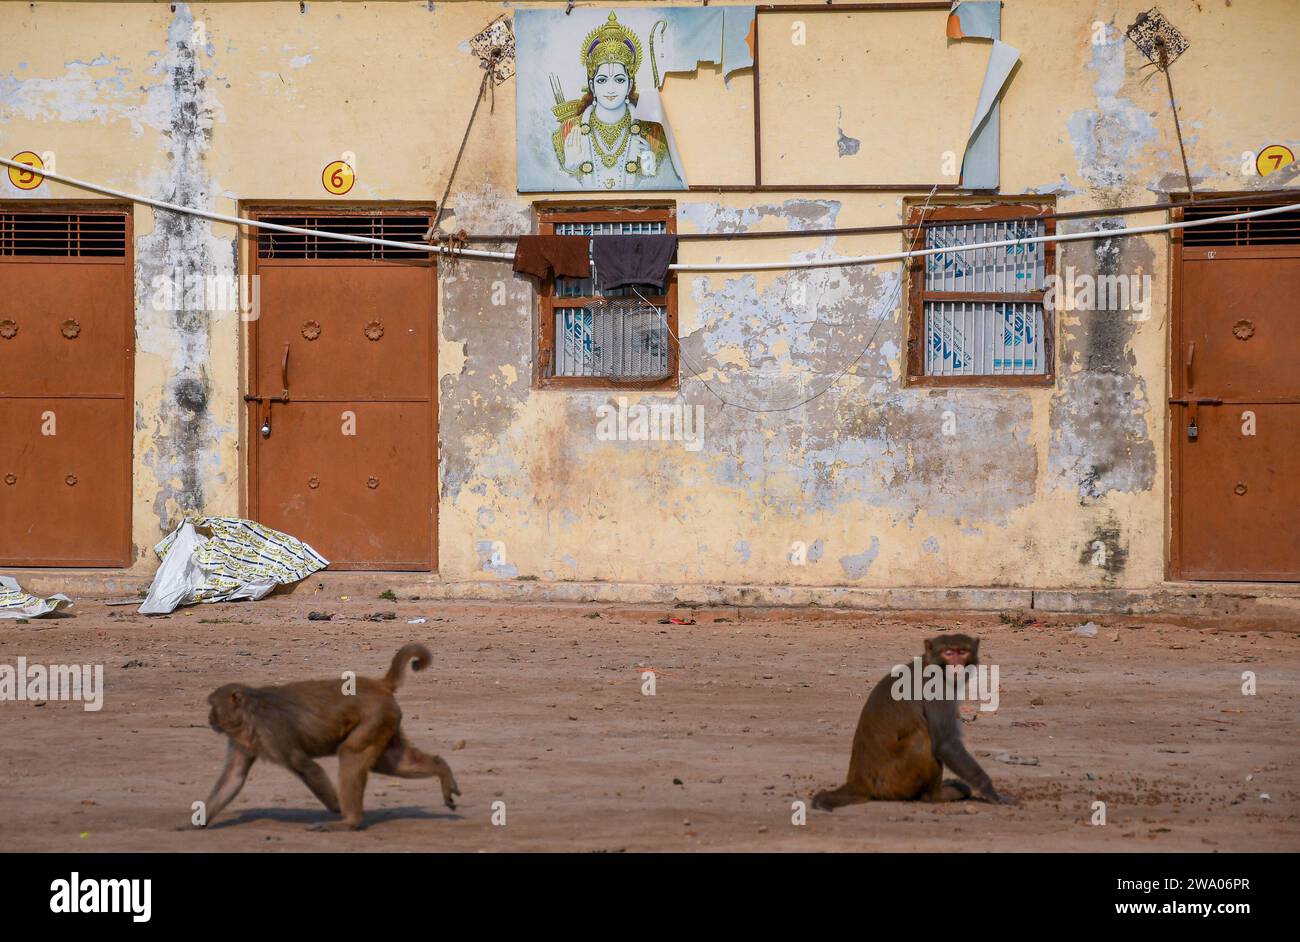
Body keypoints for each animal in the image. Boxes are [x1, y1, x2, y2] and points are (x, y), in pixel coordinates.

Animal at [203, 642, 460, 830]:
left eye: (212, 706)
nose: (209, 718)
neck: (249, 715)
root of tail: (378, 685)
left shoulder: (272, 732)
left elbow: (306, 767)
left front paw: (337, 807)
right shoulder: (241, 740)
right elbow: (233, 778)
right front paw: (198, 822)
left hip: (375, 717)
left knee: (350, 755)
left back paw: (350, 821)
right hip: (385, 721)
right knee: (391, 762)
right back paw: (441, 768)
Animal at [812, 634, 1010, 810]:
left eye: (962, 651)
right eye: (948, 652)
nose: (956, 666)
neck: (932, 664)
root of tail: (858, 782)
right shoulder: (937, 688)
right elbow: (946, 744)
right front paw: (992, 792)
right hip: (895, 781)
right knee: (923, 739)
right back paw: (935, 796)